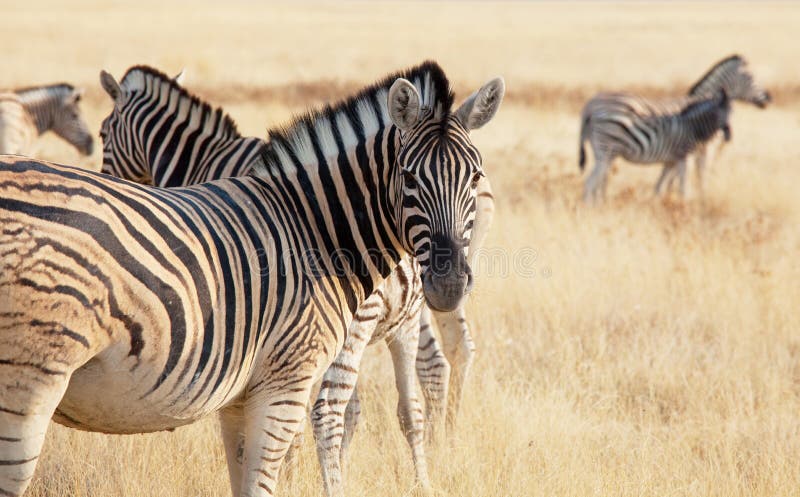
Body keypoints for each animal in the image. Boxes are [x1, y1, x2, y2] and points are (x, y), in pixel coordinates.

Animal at [0, 60, 503, 497]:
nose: (448, 283)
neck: (311, 226)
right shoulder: (279, 377)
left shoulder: (254, 385)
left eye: (474, 174)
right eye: (409, 177)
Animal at [579, 89, 732, 202]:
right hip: (606, 151)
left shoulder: (671, 160)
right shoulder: (684, 156)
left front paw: (657, 203)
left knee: (596, 182)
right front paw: (685, 204)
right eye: (719, 113)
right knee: (590, 182)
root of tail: (590, 105)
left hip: (603, 152)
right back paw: (588, 209)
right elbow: (683, 185)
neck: (692, 127)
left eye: (732, 112)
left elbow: (660, 185)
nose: (728, 135)